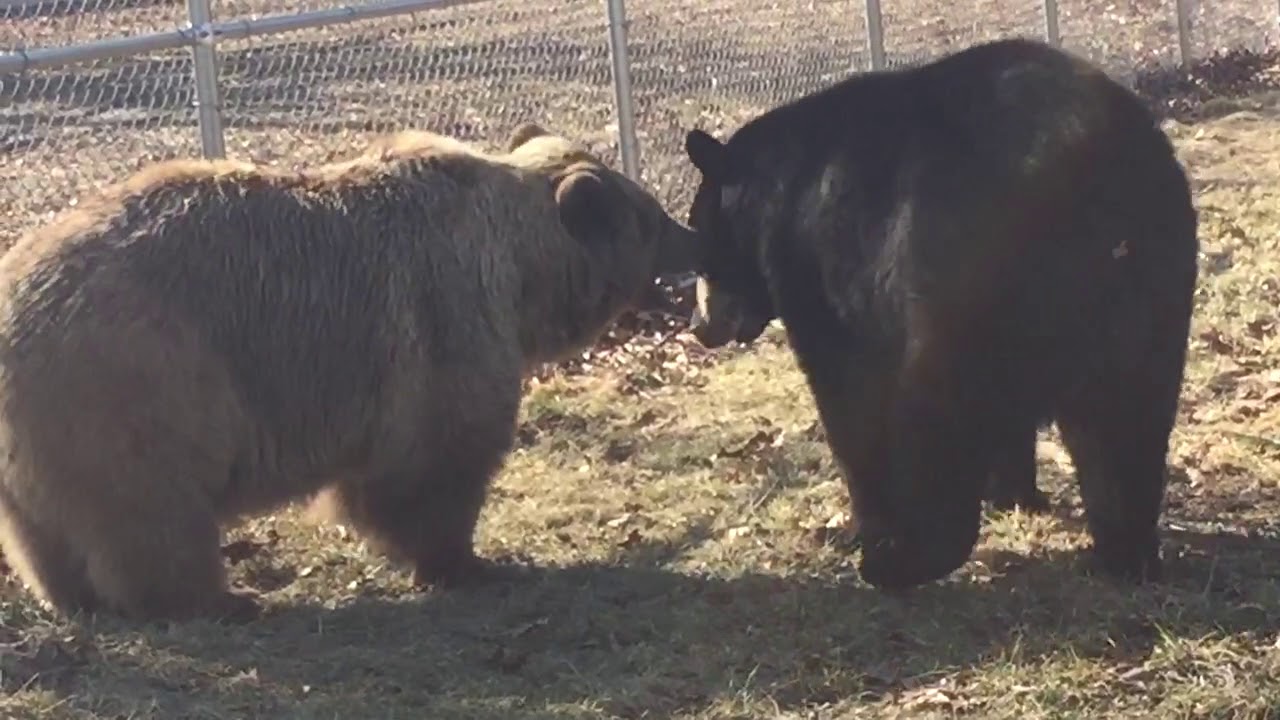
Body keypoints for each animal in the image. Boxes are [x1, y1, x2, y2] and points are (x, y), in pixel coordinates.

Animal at [0, 122, 698, 623]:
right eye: (650, 216)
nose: (692, 234)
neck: (520, 273)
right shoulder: (441, 325)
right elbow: (435, 467)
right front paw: (471, 562)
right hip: (137, 381)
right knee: (152, 514)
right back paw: (218, 601)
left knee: (48, 531)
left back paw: (76, 597)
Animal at [679, 37, 1199, 590]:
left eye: (701, 246)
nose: (699, 327)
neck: (776, 199)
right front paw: (1012, 493)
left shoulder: (823, 274)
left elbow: (849, 394)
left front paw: (869, 524)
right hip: (1149, 289)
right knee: (1127, 420)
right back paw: (1126, 556)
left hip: (963, 285)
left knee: (942, 412)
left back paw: (903, 561)